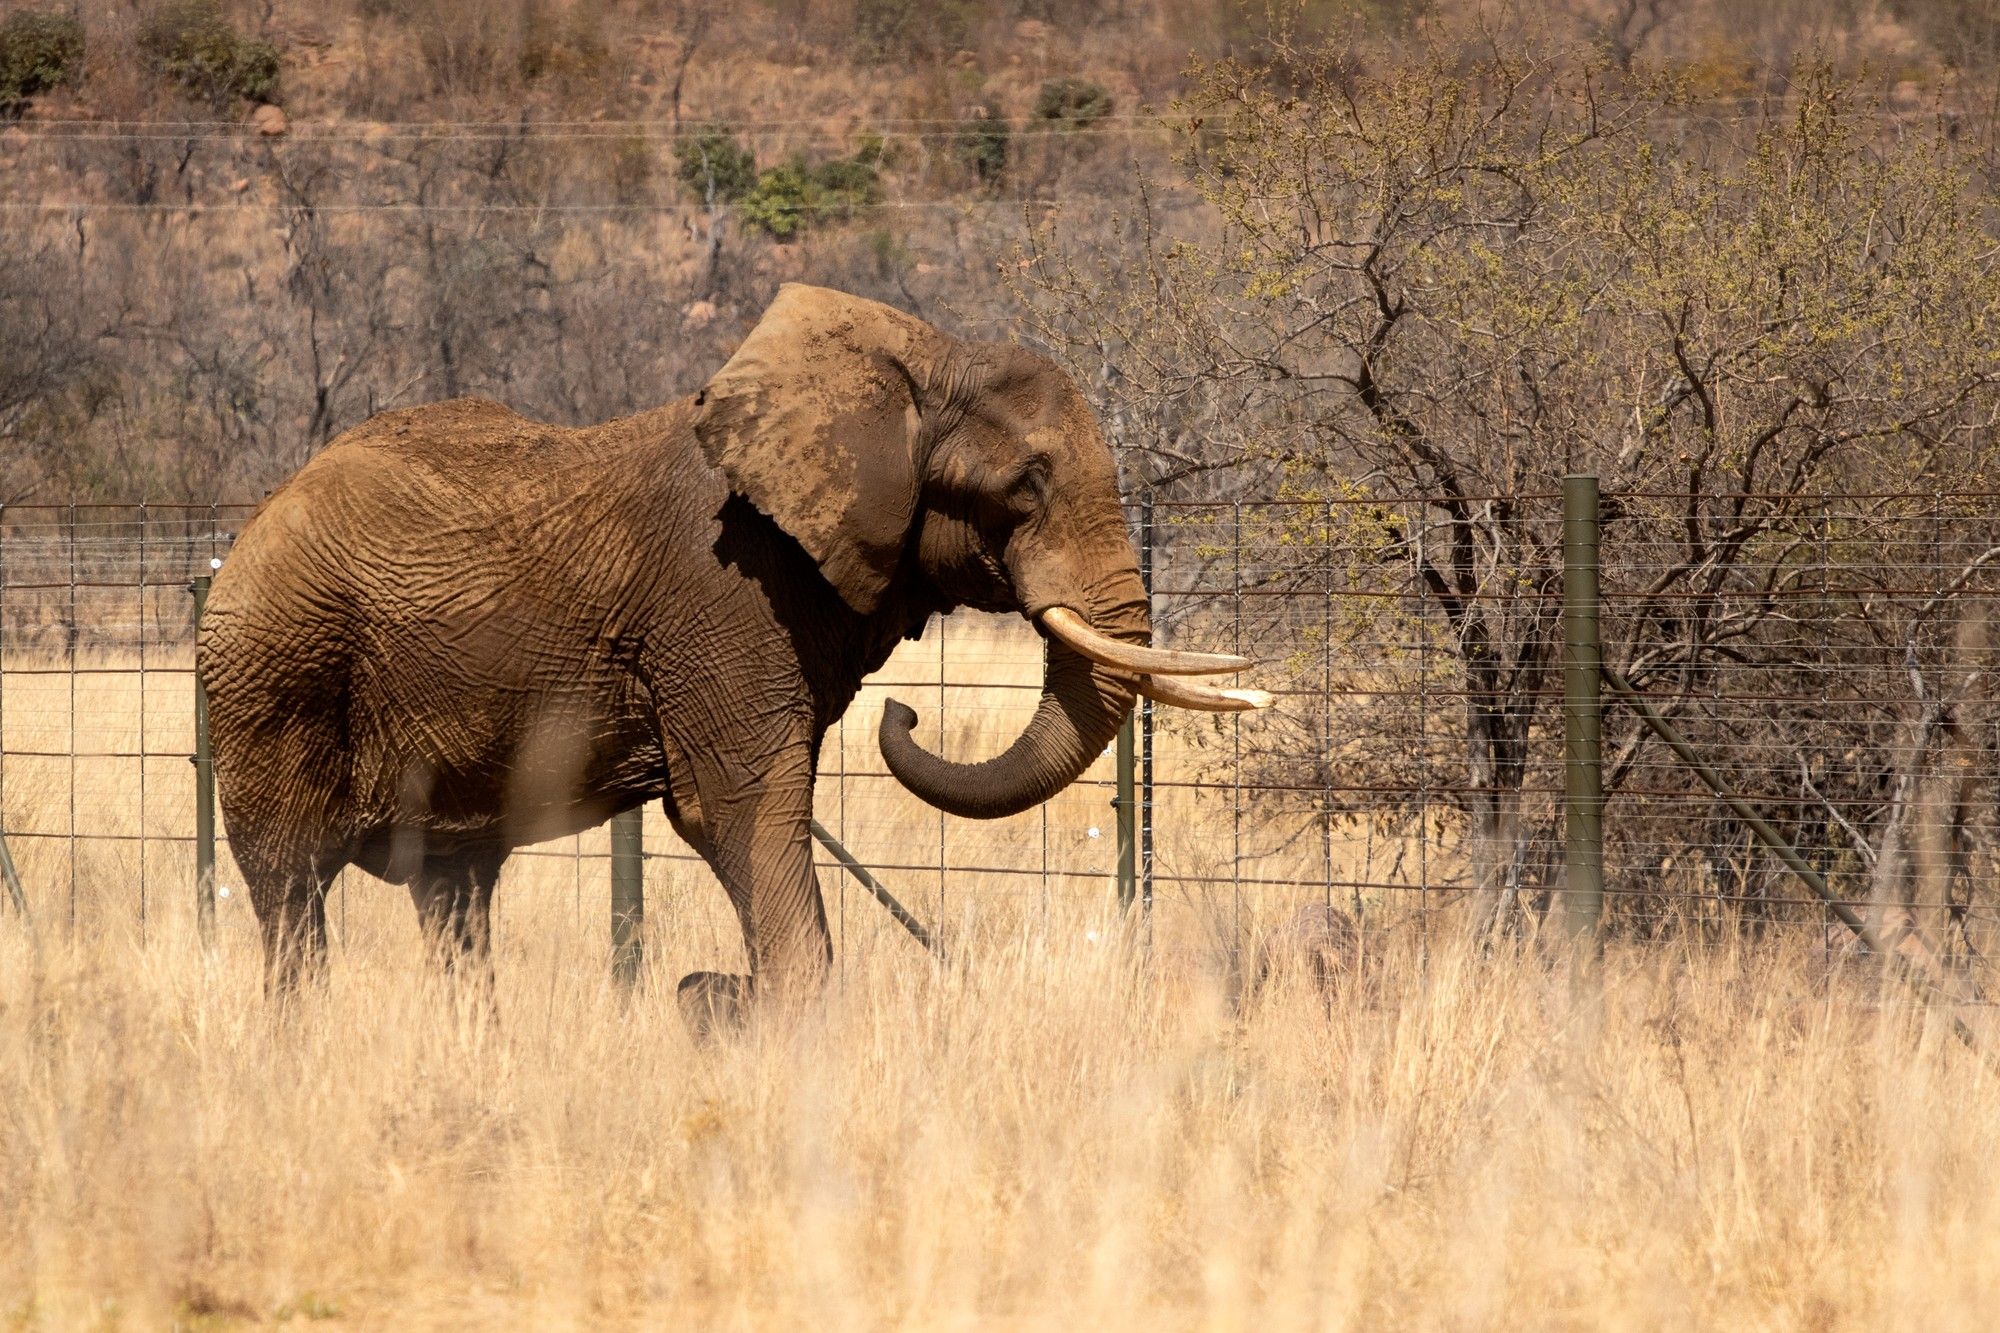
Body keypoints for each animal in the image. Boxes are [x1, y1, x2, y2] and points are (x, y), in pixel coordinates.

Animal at [199, 284, 1270, 1014]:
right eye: (1027, 485)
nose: (907, 709)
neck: (913, 368)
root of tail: (244, 532)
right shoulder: (724, 593)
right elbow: (735, 805)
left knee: (454, 896)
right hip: (274, 670)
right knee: (292, 891)